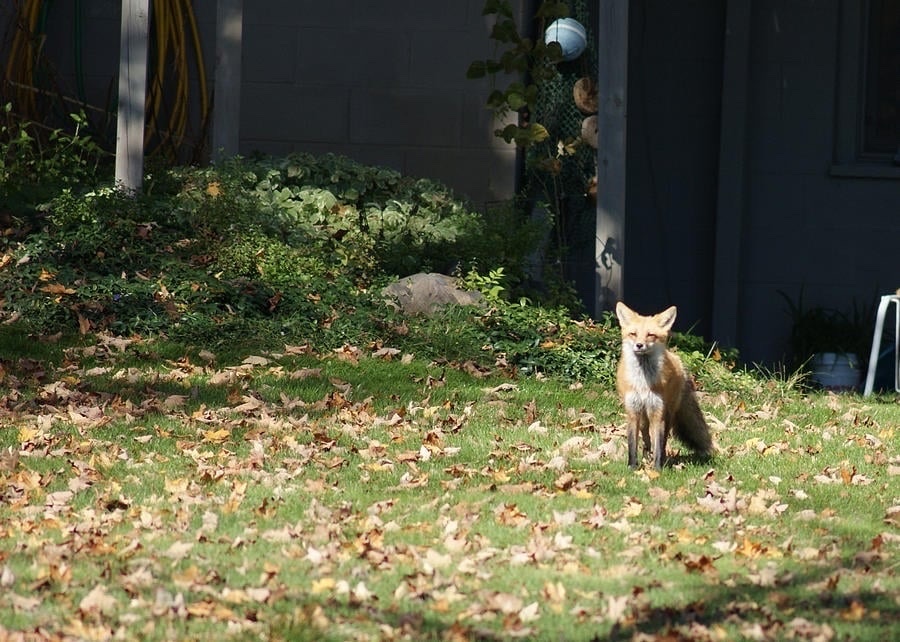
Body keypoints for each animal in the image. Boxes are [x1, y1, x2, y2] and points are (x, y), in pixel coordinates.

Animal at [615, 302, 713, 470]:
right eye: (633, 334)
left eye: (650, 335)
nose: (639, 345)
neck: (643, 383)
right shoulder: (633, 411)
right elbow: (632, 444)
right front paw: (632, 467)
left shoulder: (658, 412)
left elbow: (659, 444)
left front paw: (657, 469)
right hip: (643, 416)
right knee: (645, 436)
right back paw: (645, 455)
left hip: (668, 413)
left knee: (663, 438)